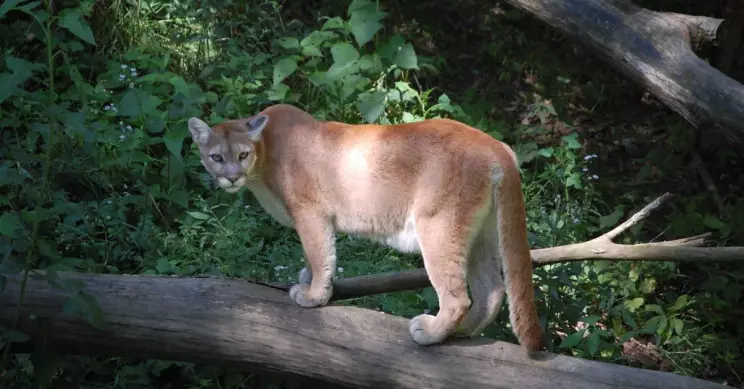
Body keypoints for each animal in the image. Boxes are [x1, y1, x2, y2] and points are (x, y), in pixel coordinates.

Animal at [189, 103, 544, 352]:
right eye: (216, 157)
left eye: (242, 154)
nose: (231, 177)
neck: (261, 159)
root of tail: (494, 145)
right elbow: (314, 253)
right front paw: (309, 280)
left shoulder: (310, 212)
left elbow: (318, 252)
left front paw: (314, 294)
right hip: (481, 233)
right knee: (492, 289)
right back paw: (462, 332)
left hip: (439, 226)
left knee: (458, 297)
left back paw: (430, 333)